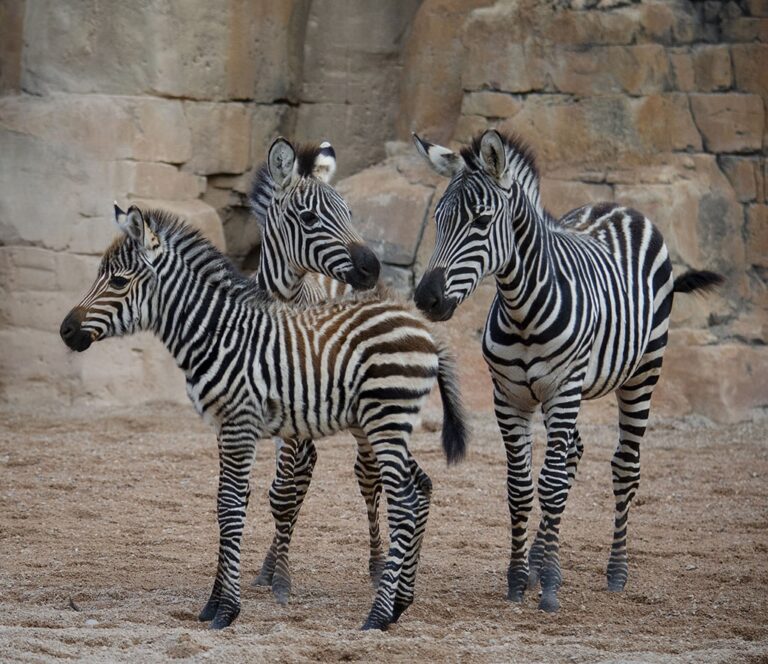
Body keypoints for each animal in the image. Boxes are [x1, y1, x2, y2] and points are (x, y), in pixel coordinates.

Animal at [59, 203, 468, 630]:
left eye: (119, 281)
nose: (66, 330)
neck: (216, 333)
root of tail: (423, 329)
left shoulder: (239, 423)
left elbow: (231, 505)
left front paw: (227, 610)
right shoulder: (224, 426)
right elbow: (225, 504)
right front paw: (212, 604)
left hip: (386, 418)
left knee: (404, 500)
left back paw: (378, 614)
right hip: (385, 422)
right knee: (418, 489)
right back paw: (400, 603)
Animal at [246, 136, 387, 604]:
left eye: (349, 212)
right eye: (308, 218)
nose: (371, 267)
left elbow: (284, 495)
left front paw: (283, 581)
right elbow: (274, 493)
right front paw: (272, 572)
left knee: (369, 476)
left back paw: (378, 566)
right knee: (302, 476)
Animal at [411, 128, 723, 613]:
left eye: (481, 221)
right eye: (439, 220)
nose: (427, 299)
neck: (522, 309)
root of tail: (619, 207)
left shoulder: (562, 389)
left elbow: (552, 482)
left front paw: (551, 585)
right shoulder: (508, 396)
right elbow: (521, 487)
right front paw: (520, 578)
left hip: (641, 373)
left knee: (624, 467)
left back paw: (616, 572)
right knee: (572, 453)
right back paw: (540, 561)